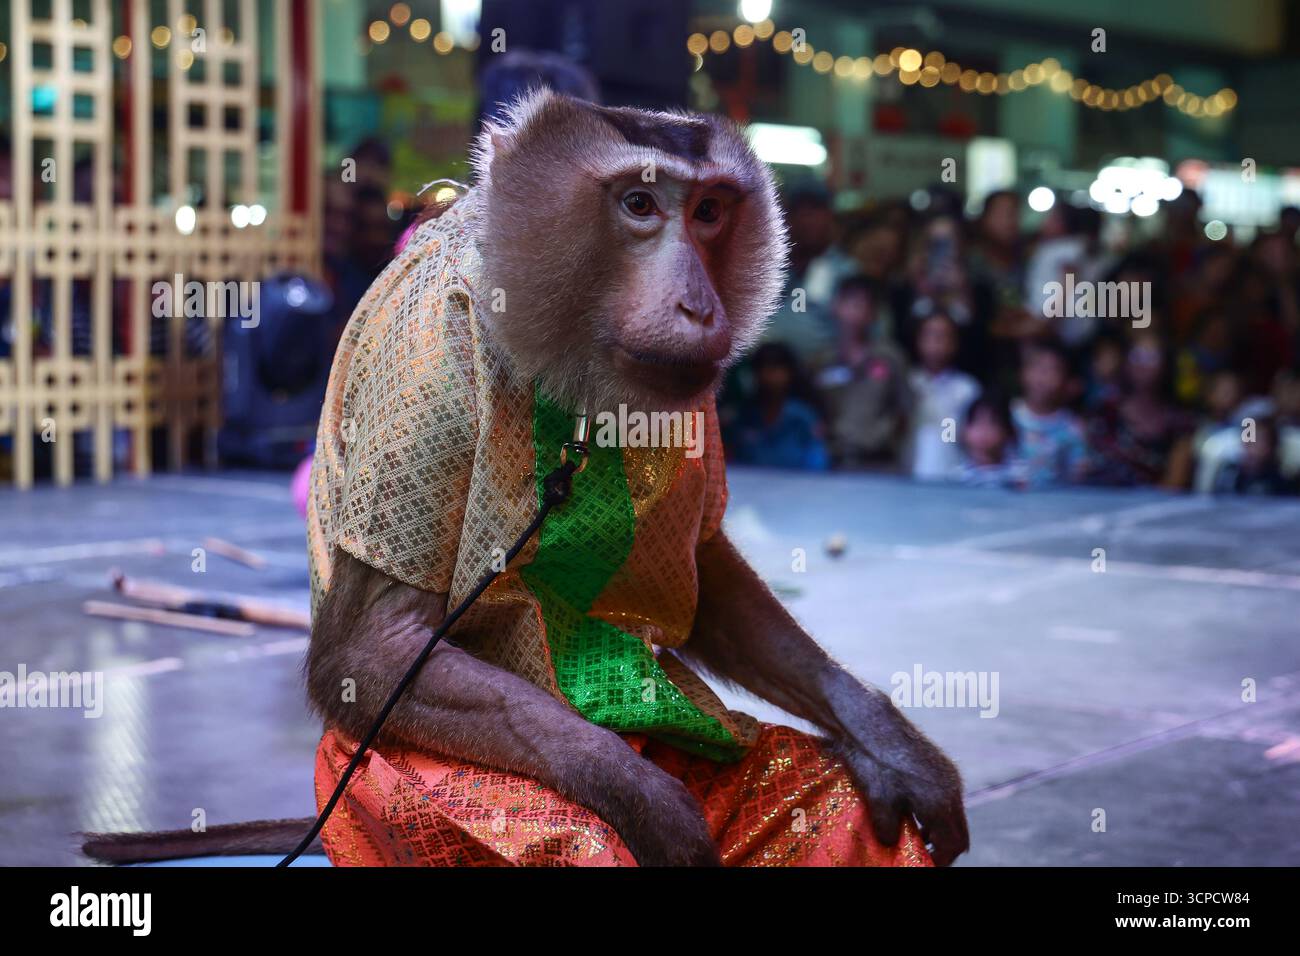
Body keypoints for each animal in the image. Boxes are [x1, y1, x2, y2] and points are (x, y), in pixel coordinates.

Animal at [84, 90, 967, 868]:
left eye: (710, 211)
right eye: (639, 203)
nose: (697, 307)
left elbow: (704, 564)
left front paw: (888, 744)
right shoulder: (427, 359)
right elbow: (376, 648)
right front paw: (646, 802)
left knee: (819, 800)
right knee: (549, 829)